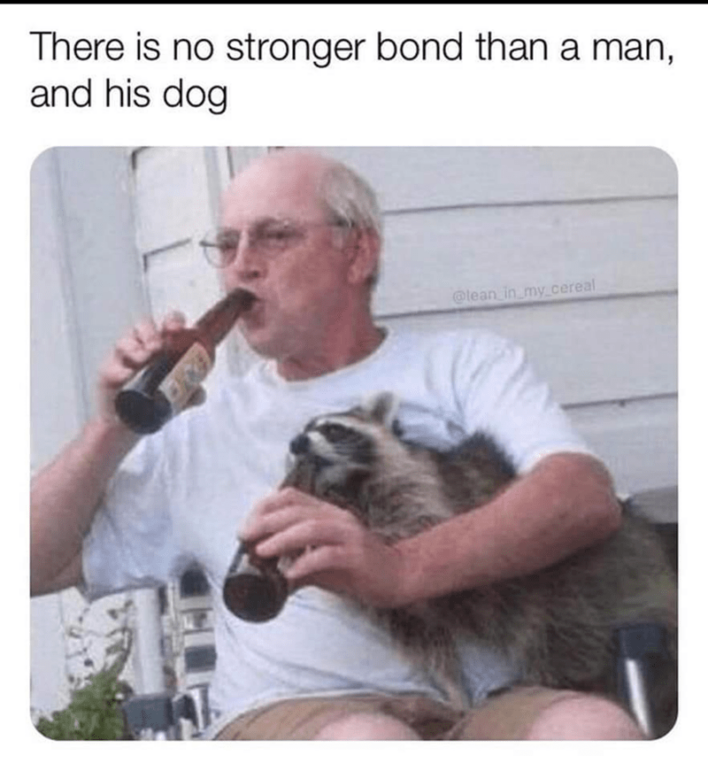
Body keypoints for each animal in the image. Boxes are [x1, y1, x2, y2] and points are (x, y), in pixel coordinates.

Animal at [282, 392, 678, 737]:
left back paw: (545, 674)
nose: (297, 443)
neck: (352, 484)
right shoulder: (398, 611)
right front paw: (454, 693)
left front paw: (368, 541)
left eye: (333, 429)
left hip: (579, 576)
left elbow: (420, 534)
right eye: (301, 433)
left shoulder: (424, 491)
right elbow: (429, 644)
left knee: (553, 627)